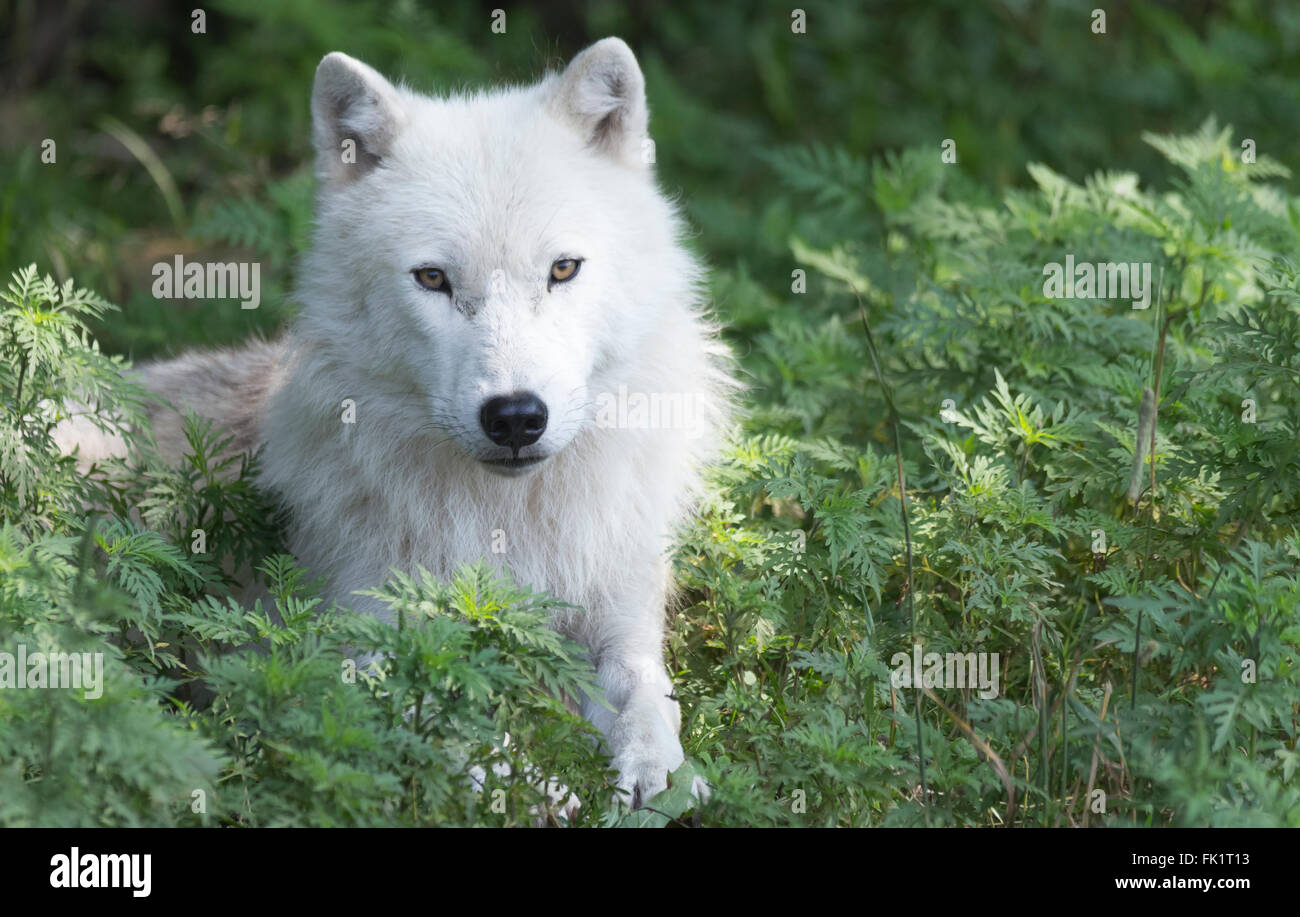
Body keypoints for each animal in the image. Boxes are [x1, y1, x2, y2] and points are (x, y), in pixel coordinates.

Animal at [64, 38, 736, 809]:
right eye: (434, 279)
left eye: (563, 269)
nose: (515, 417)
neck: (510, 523)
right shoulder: (360, 649)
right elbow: (456, 733)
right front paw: (537, 792)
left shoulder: (621, 611)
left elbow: (646, 693)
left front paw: (659, 774)